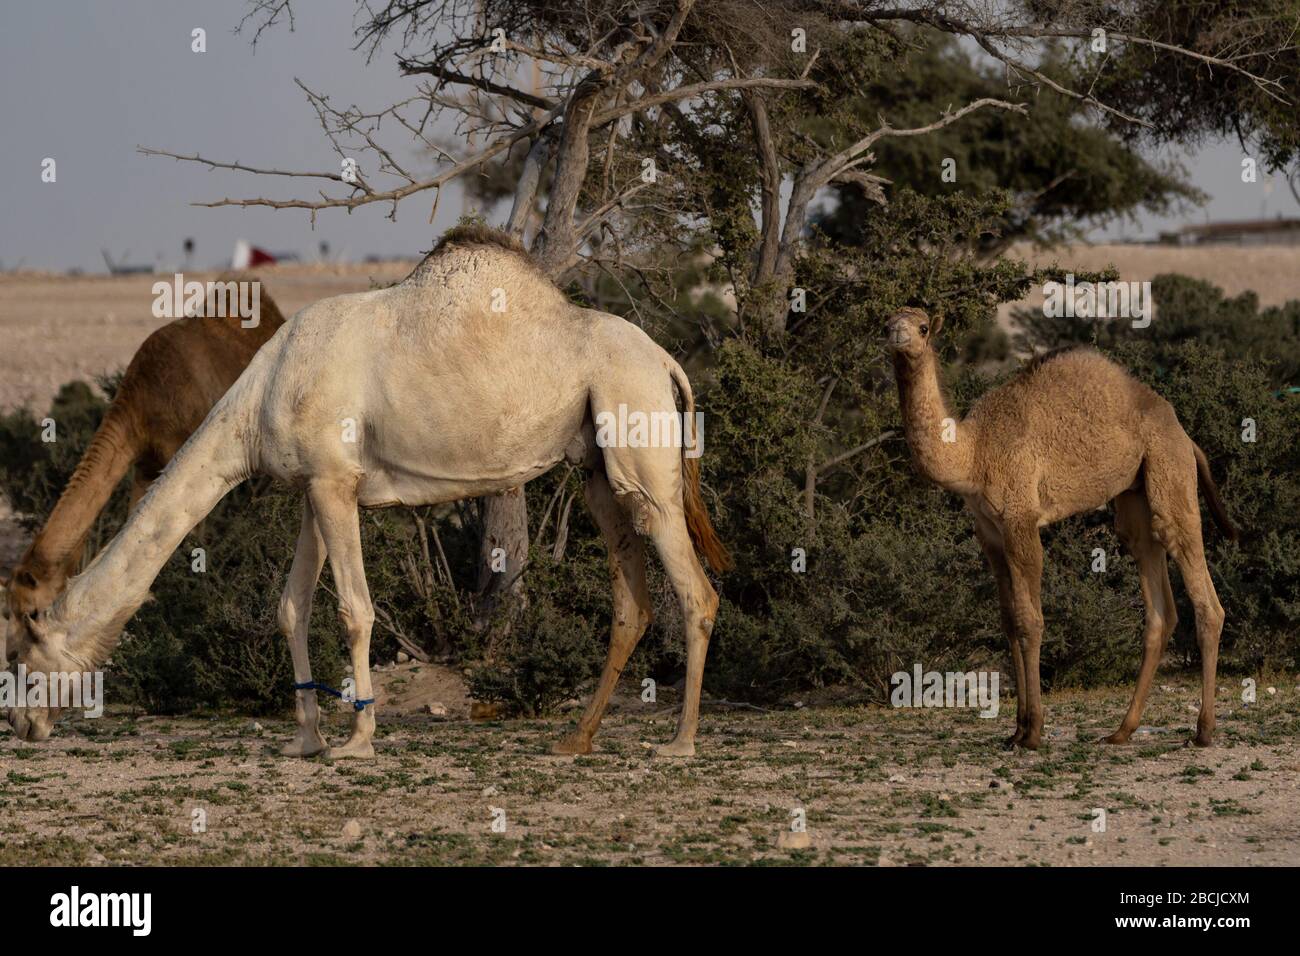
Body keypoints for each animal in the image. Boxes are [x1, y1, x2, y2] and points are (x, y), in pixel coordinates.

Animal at [885, 307, 1234, 749]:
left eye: (923, 327)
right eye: (886, 324)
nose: (898, 335)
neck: (974, 453)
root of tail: (1186, 435)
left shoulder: (1020, 518)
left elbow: (1030, 621)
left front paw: (1033, 731)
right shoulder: (989, 533)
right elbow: (1008, 621)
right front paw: (1015, 730)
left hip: (1169, 471)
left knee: (1204, 594)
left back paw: (1203, 731)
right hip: (1134, 496)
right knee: (1158, 603)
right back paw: (1122, 730)